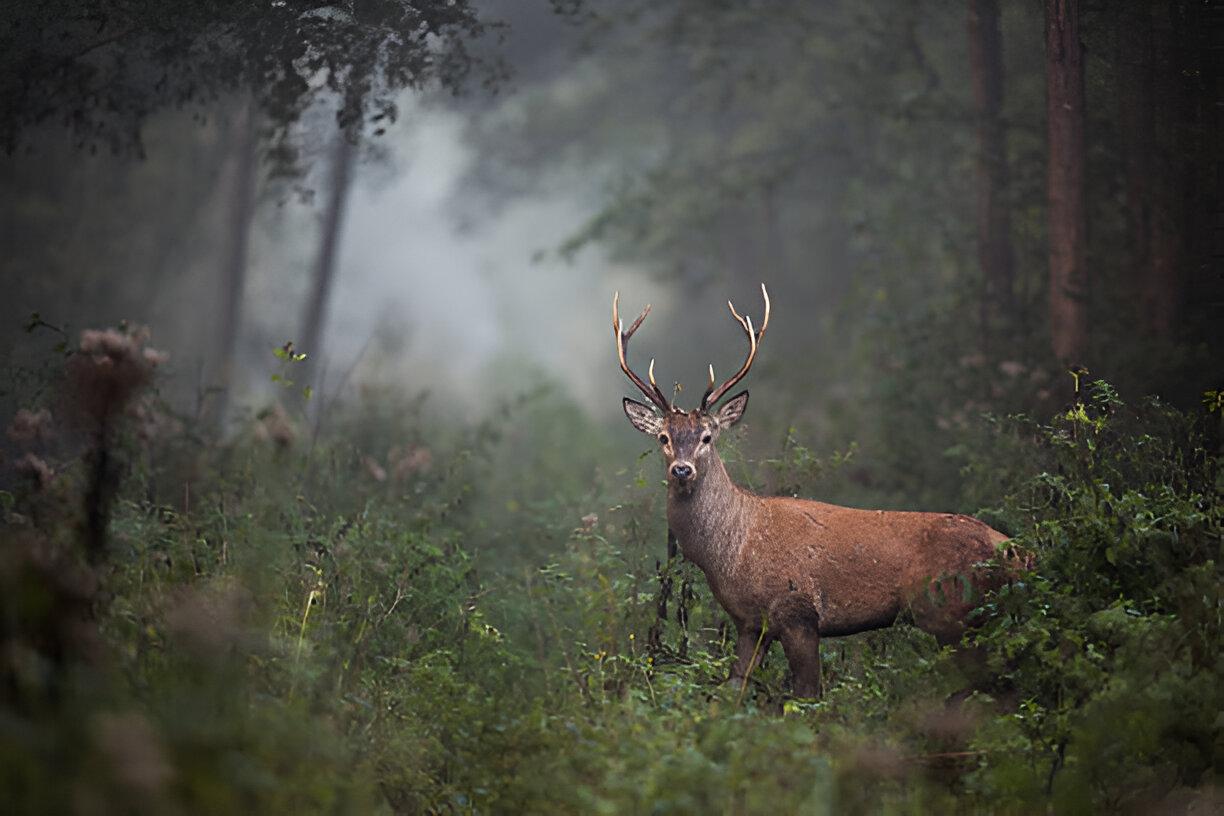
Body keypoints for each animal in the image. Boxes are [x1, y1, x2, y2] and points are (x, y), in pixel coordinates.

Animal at [612, 284, 1016, 698]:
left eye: (708, 437)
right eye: (663, 437)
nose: (682, 469)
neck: (731, 553)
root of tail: (1014, 550)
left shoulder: (799, 612)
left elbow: (807, 695)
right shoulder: (750, 624)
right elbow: (734, 690)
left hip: (953, 611)